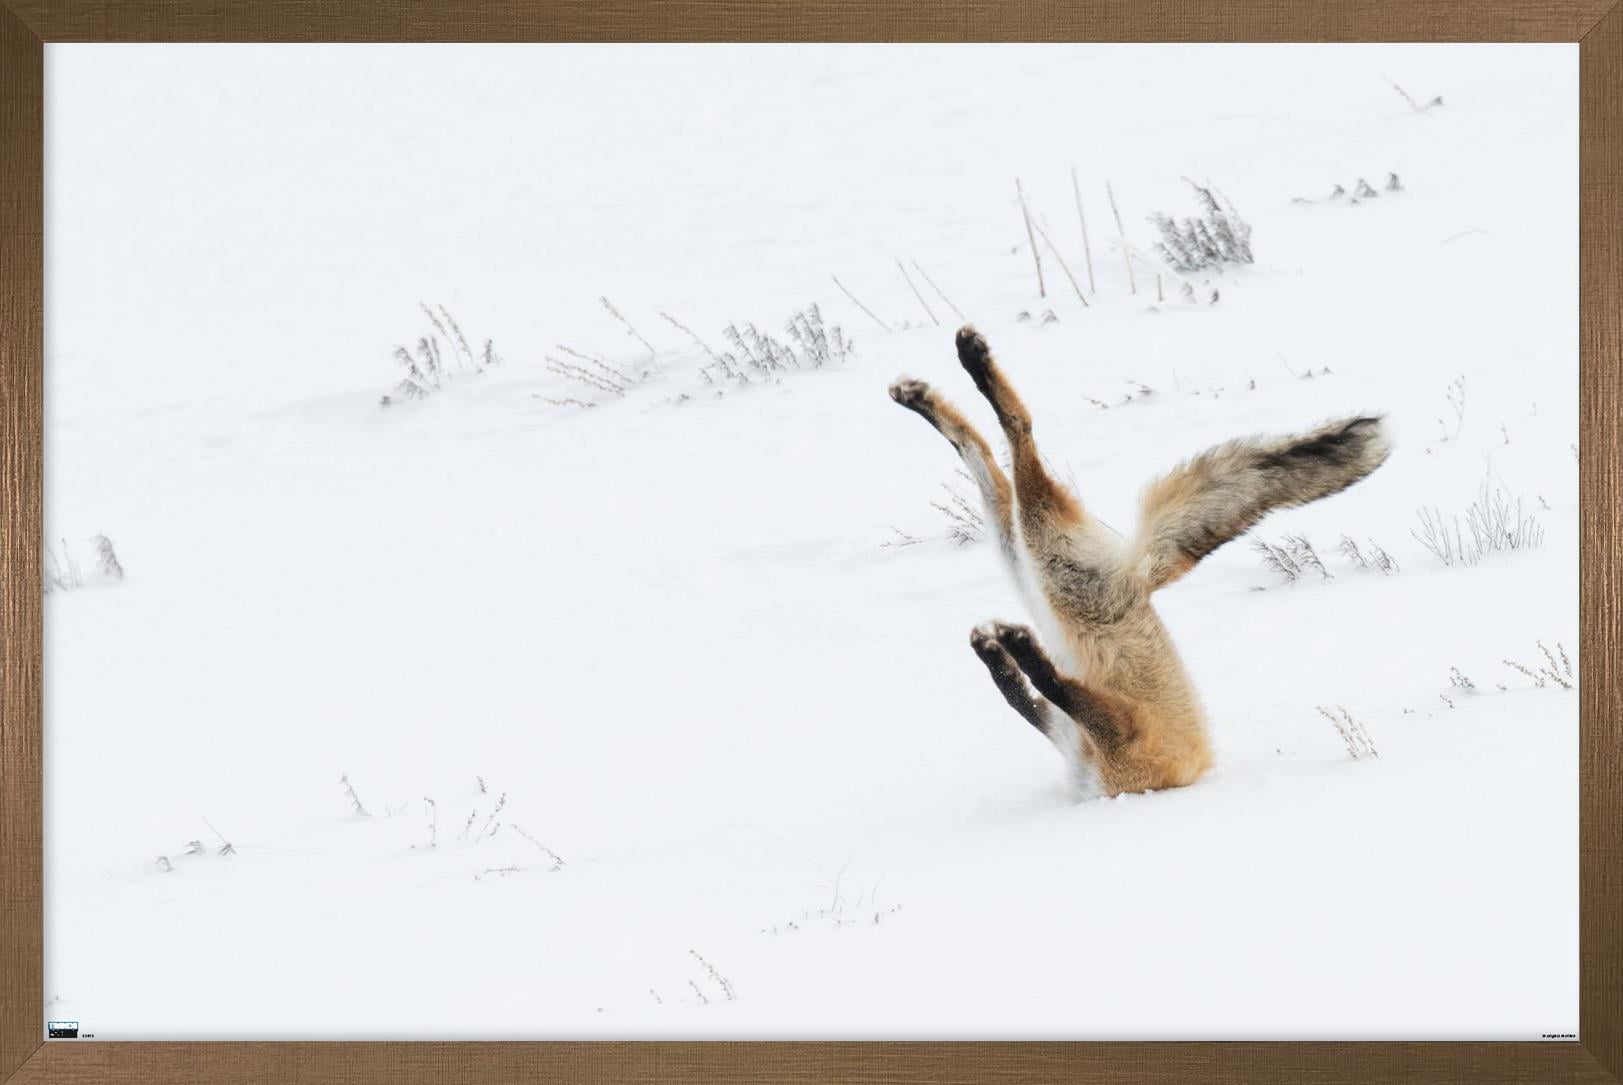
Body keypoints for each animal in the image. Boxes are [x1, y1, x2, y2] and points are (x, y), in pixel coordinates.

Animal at [889, 325, 1391, 799]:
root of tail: (1141, 574)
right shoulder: (1074, 734)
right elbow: (1022, 696)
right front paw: (997, 652)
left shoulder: (1118, 738)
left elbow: (1046, 687)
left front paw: (1013, 648)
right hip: (1027, 559)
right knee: (983, 453)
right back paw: (924, 394)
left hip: (1045, 559)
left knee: (1018, 433)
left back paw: (972, 363)